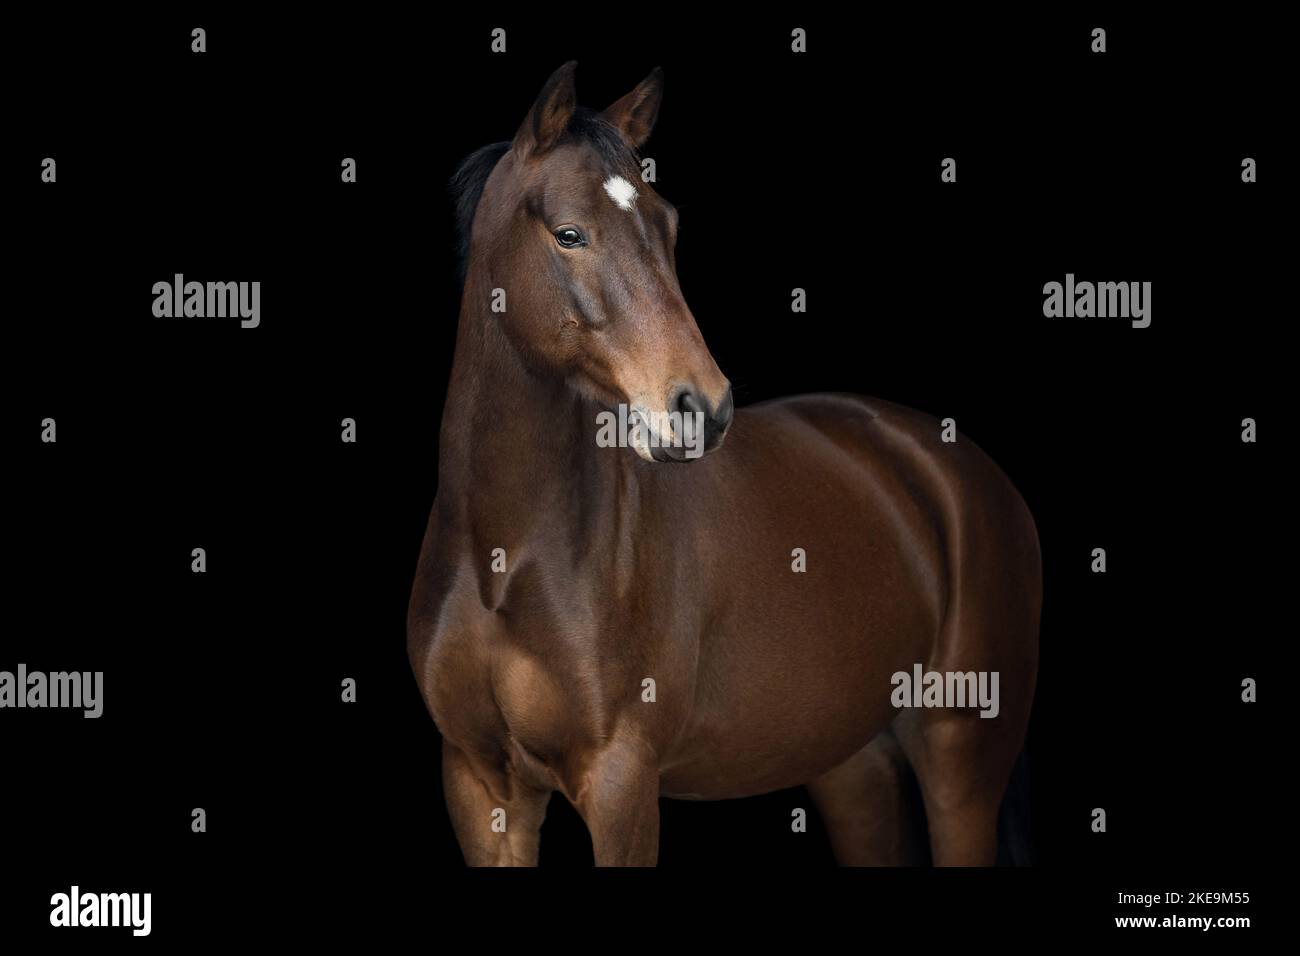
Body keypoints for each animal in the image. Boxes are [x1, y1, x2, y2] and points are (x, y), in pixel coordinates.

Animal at [407, 62, 1041, 866]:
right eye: (569, 234)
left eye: (669, 225)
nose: (702, 407)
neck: (506, 557)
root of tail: (958, 469)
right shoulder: (481, 786)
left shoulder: (620, 784)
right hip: (850, 766)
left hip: (960, 764)